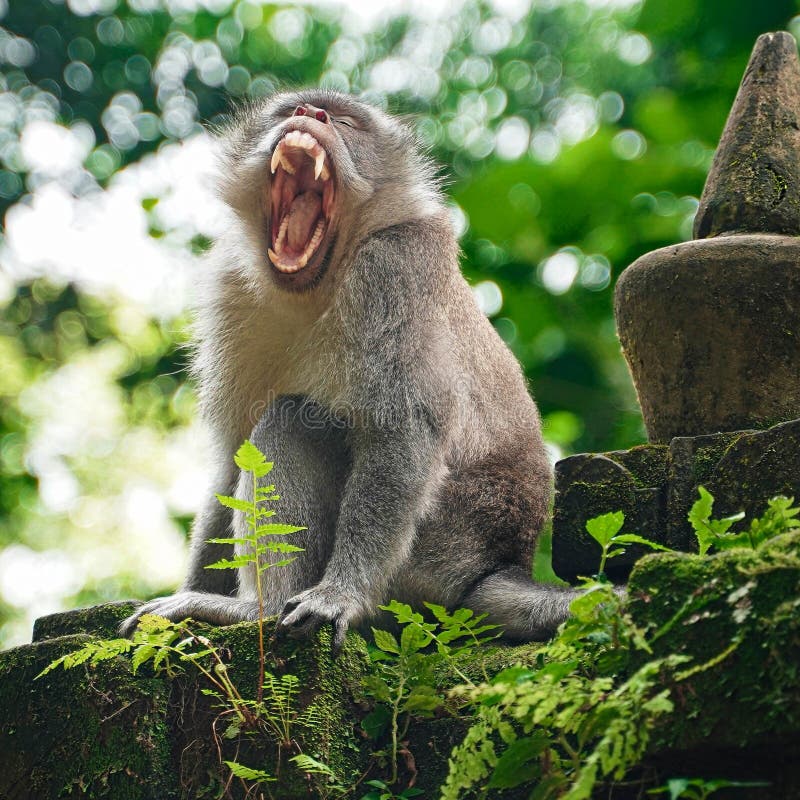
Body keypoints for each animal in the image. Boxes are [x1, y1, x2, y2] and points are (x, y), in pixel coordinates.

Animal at [121, 89, 581, 650]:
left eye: (343, 122)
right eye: (292, 110)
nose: (311, 116)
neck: (319, 284)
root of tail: (494, 568)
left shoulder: (395, 265)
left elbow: (401, 429)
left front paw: (338, 597)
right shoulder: (229, 287)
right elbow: (231, 457)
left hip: (430, 559)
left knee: (293, 420)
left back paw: (255, 611)